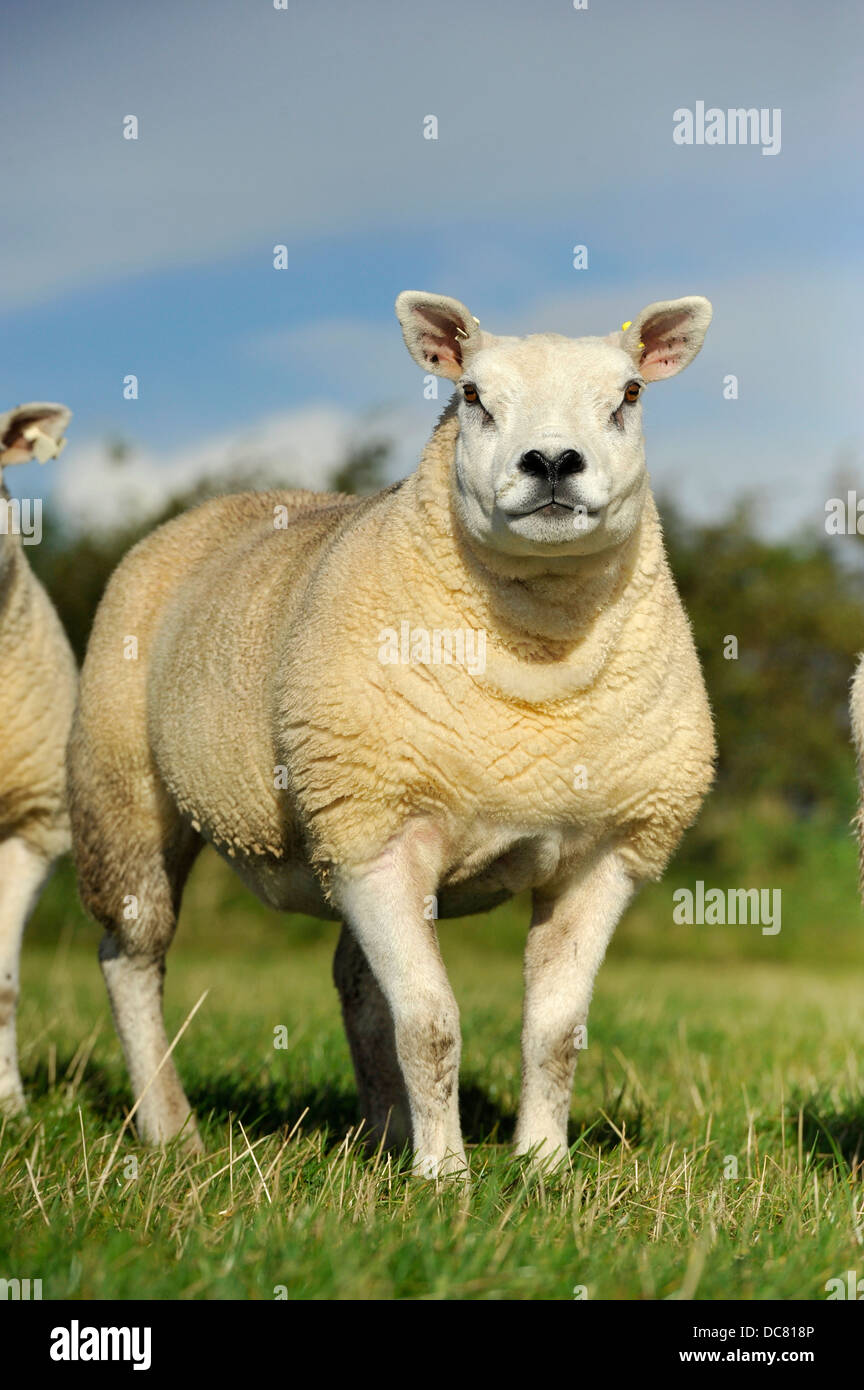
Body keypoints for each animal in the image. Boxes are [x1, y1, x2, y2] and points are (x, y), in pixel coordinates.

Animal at [68, 293, 715, 1174]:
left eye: (630, 395)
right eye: (472, 395)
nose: (551, 461)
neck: (537, 674)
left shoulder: (606, 850)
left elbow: (555, 1032)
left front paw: (542, 1166)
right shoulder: (375, 834)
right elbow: (432, 1026)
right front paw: (446, 1176)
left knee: (354, 977)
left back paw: (384, 1131)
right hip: (124, 785)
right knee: (132, 953)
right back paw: (173, 1130)